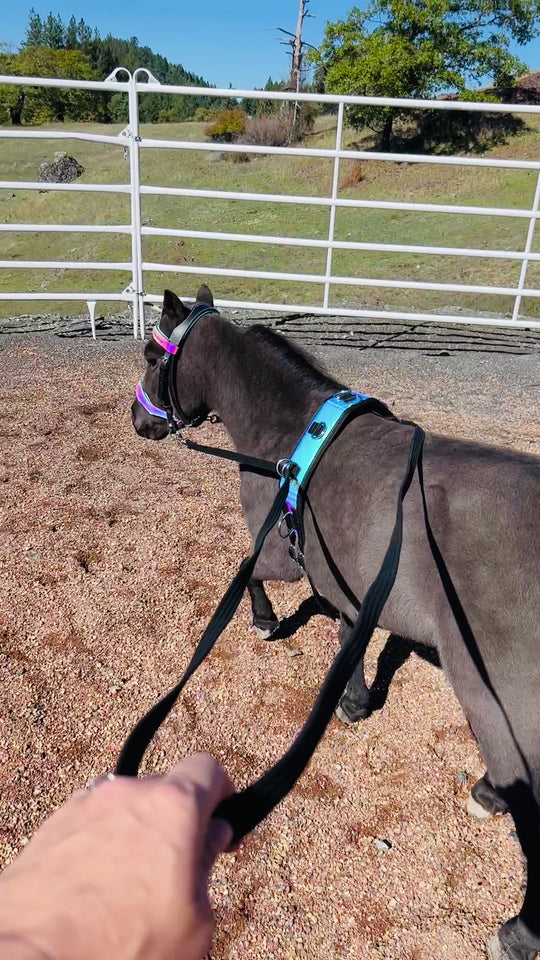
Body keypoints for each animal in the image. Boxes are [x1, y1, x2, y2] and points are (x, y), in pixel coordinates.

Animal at [131, 285, 540, 960]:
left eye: (150, 355)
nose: (138, 421)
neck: (292, 435)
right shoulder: (349, 577)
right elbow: (352, 635)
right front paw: (351, 700)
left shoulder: (279, 550)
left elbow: (247, 572)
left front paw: (264, 622)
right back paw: (488, 793)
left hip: (492, 690)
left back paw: (519, 926)